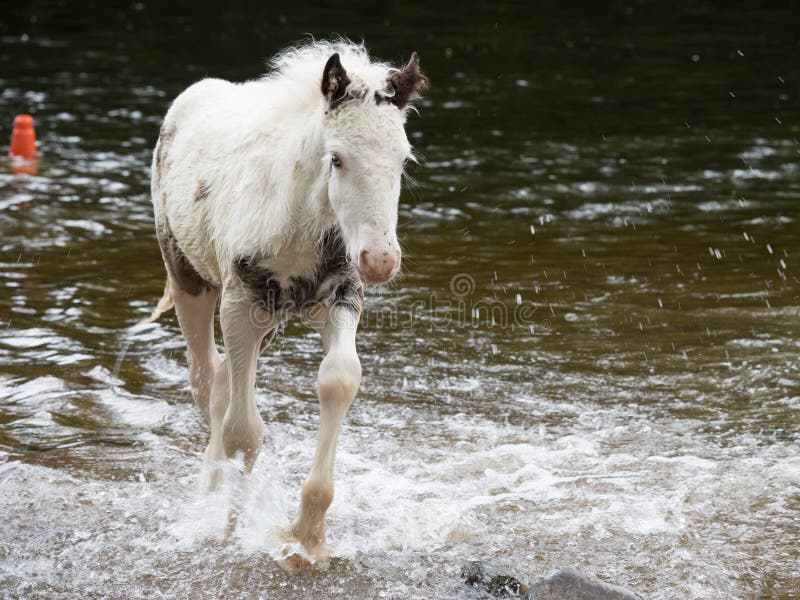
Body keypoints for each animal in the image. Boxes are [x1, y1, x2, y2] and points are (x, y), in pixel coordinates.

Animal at [143, 40, 427, 568]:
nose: (379, 259)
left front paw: (306, 537)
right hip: (191, 281)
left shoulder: (339, 298)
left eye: (402, 160)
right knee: (205, 378)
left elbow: (339, 379)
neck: (299, 222)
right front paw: (227, 528)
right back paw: (208, 499)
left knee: (218, 383)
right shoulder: (240, 307)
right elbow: (242, 430)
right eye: (336, 158)